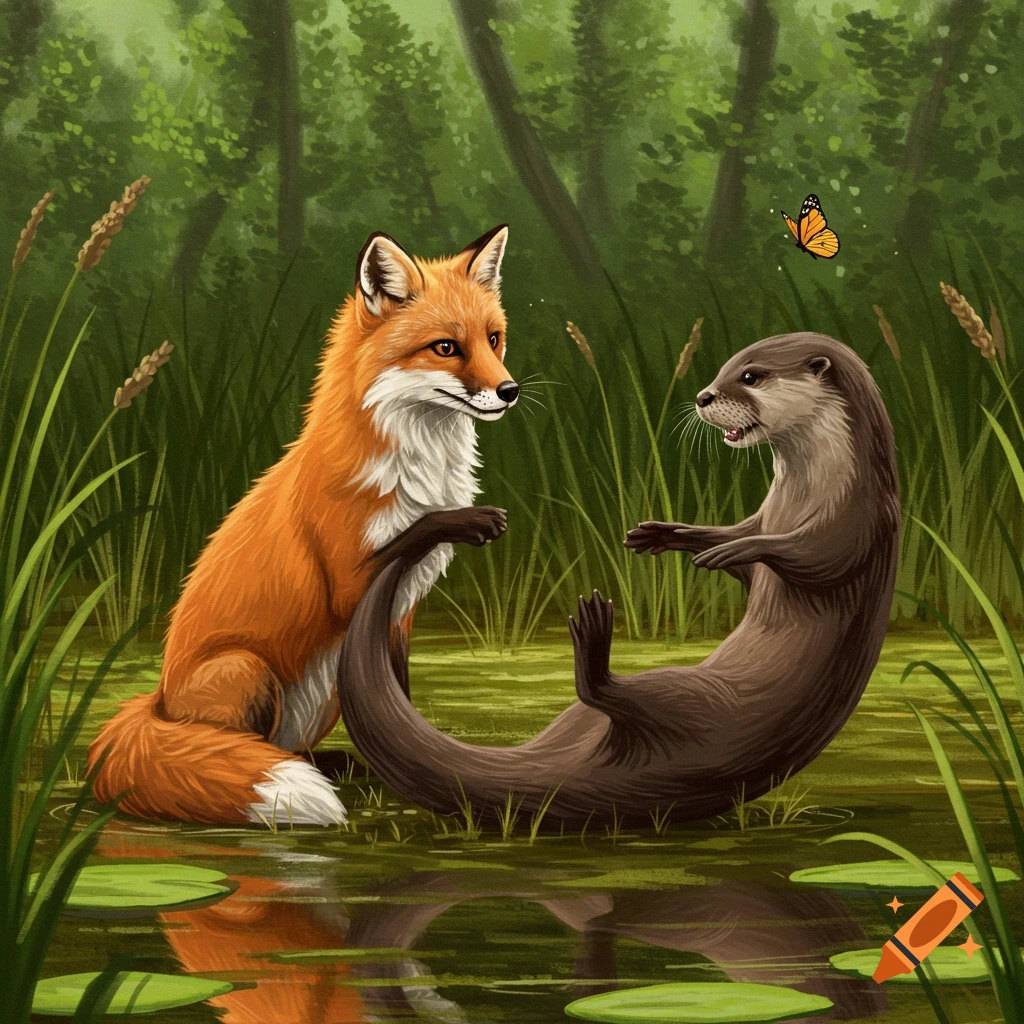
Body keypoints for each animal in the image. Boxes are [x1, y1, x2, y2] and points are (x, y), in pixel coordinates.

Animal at [87, 225, 517, 826]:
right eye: (446, 348)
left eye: (493, 339)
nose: (509, 391)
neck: (419, 467)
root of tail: (159, 701)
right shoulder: (350, 585)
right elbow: (417, 528)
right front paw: (466, 518)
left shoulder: (399, 613)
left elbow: (398, 699)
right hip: (247, 670)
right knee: (241, 747)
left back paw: (336, 767)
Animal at [337, 332, 900, 827]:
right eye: (725, 370)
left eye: (751, 376)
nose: (703, 396)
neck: (807, 489)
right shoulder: (767, 514)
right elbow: (741, 539)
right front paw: (666, 533)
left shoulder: (861, 516)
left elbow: (817, 554)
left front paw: (729, 550)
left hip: (697, 707)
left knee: (613, 696)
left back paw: (594, 634)